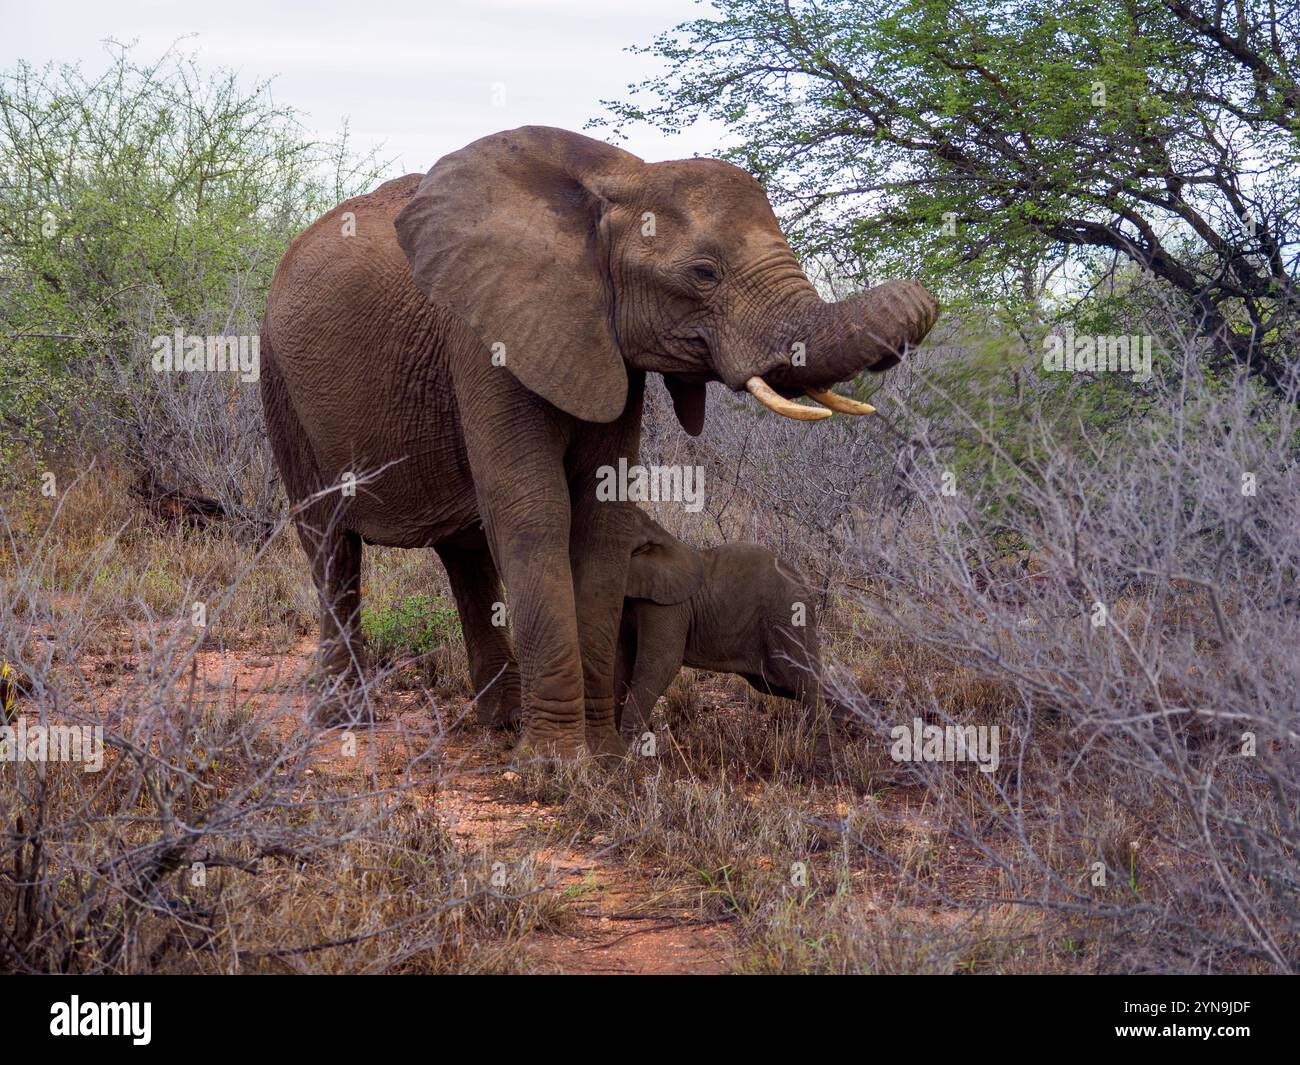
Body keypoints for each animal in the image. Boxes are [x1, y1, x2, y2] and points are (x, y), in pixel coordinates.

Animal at [259, 125, 938, 760]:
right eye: (704, 274)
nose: (922, 298)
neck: (621, 178)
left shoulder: (607, 346)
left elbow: (601, 513)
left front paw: (604, 756)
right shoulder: (487, 336)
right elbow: (534, 512)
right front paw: (557, 767)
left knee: (465, 553)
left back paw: (499, 720)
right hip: (279, 380)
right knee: (330, 543)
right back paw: (345, 721)